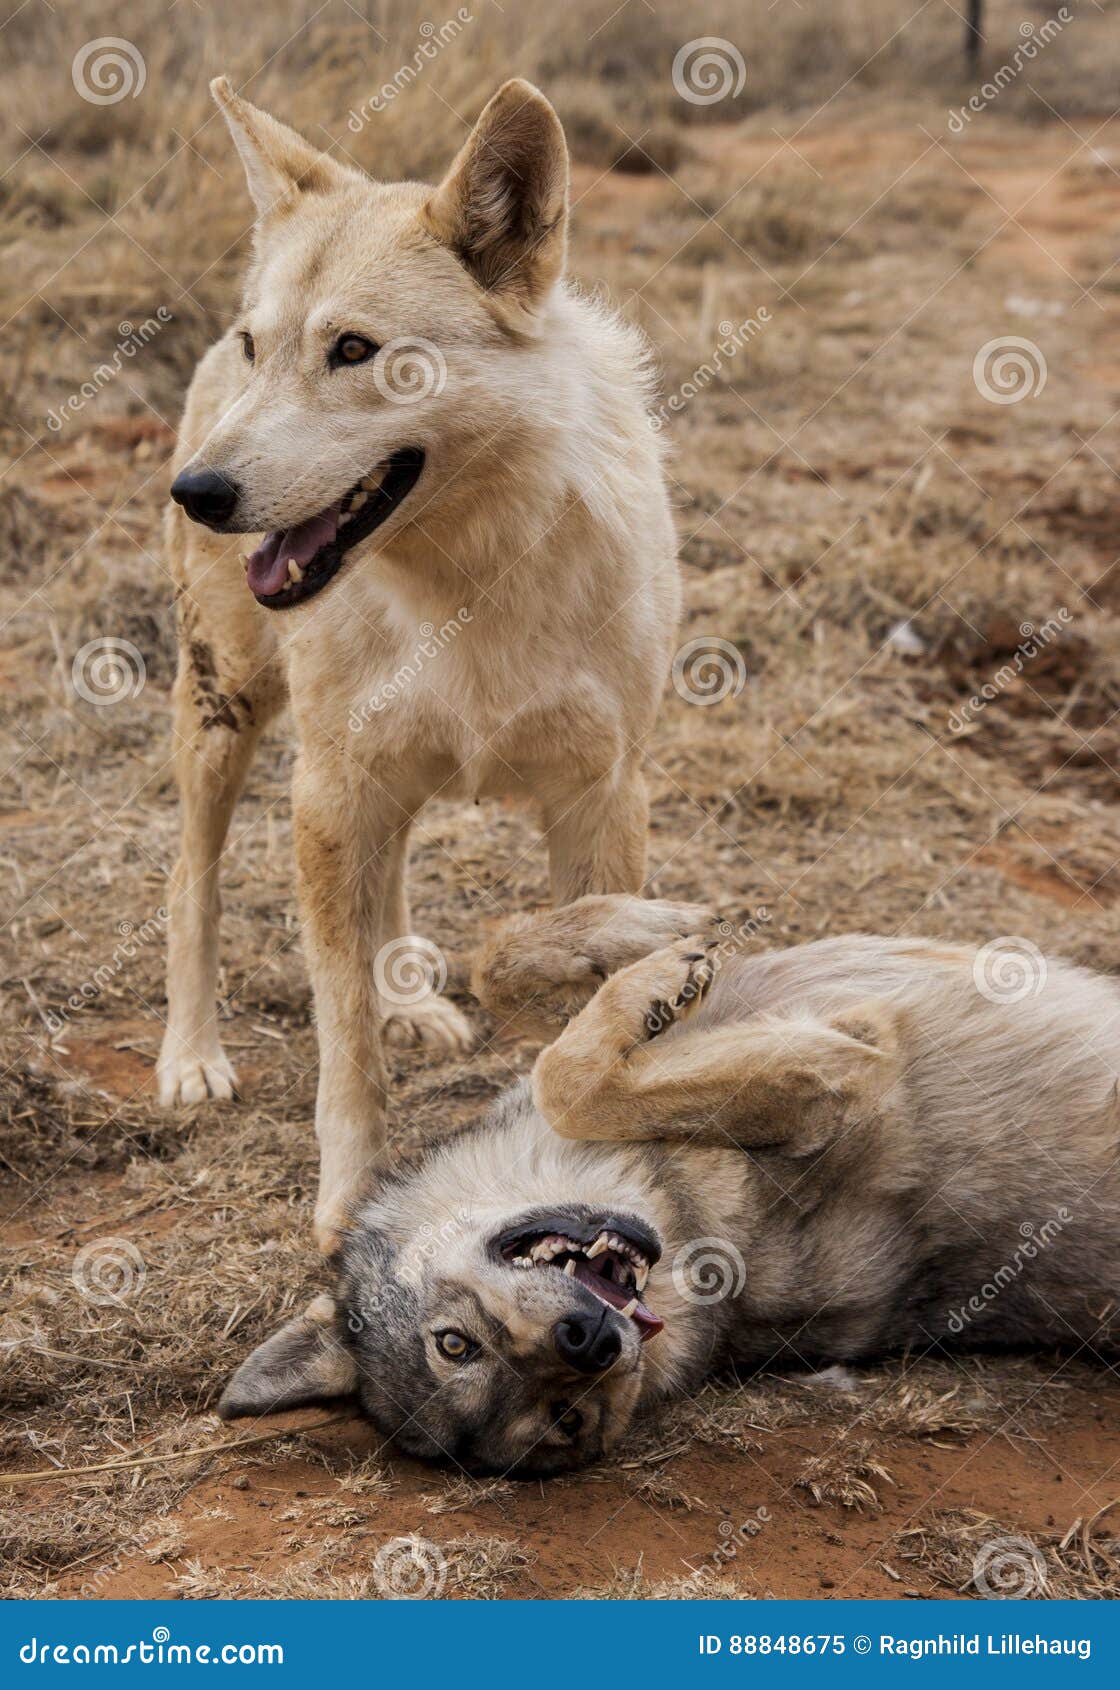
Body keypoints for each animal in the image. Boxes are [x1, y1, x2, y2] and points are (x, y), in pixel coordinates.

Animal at [157, 78, 679, 1251]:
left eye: (354, 350)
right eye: (263, 346)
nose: (199, 491)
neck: (467, 584)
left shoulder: (604, 796)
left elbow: (565, 962)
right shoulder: (324, 791)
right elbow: (342, 1040)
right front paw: (348, 1206)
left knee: (388, 874)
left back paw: (412, 1001)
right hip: (229, 718)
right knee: (191, 883)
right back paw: (192, 1057)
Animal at [220, 896, 1120, 1477]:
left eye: (452, 1344)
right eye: (567, 1422)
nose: (588, 1342)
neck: (682, 1213)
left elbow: (502, 974)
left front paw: (651, 933)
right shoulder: (856, 1082)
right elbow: (566, 1076)